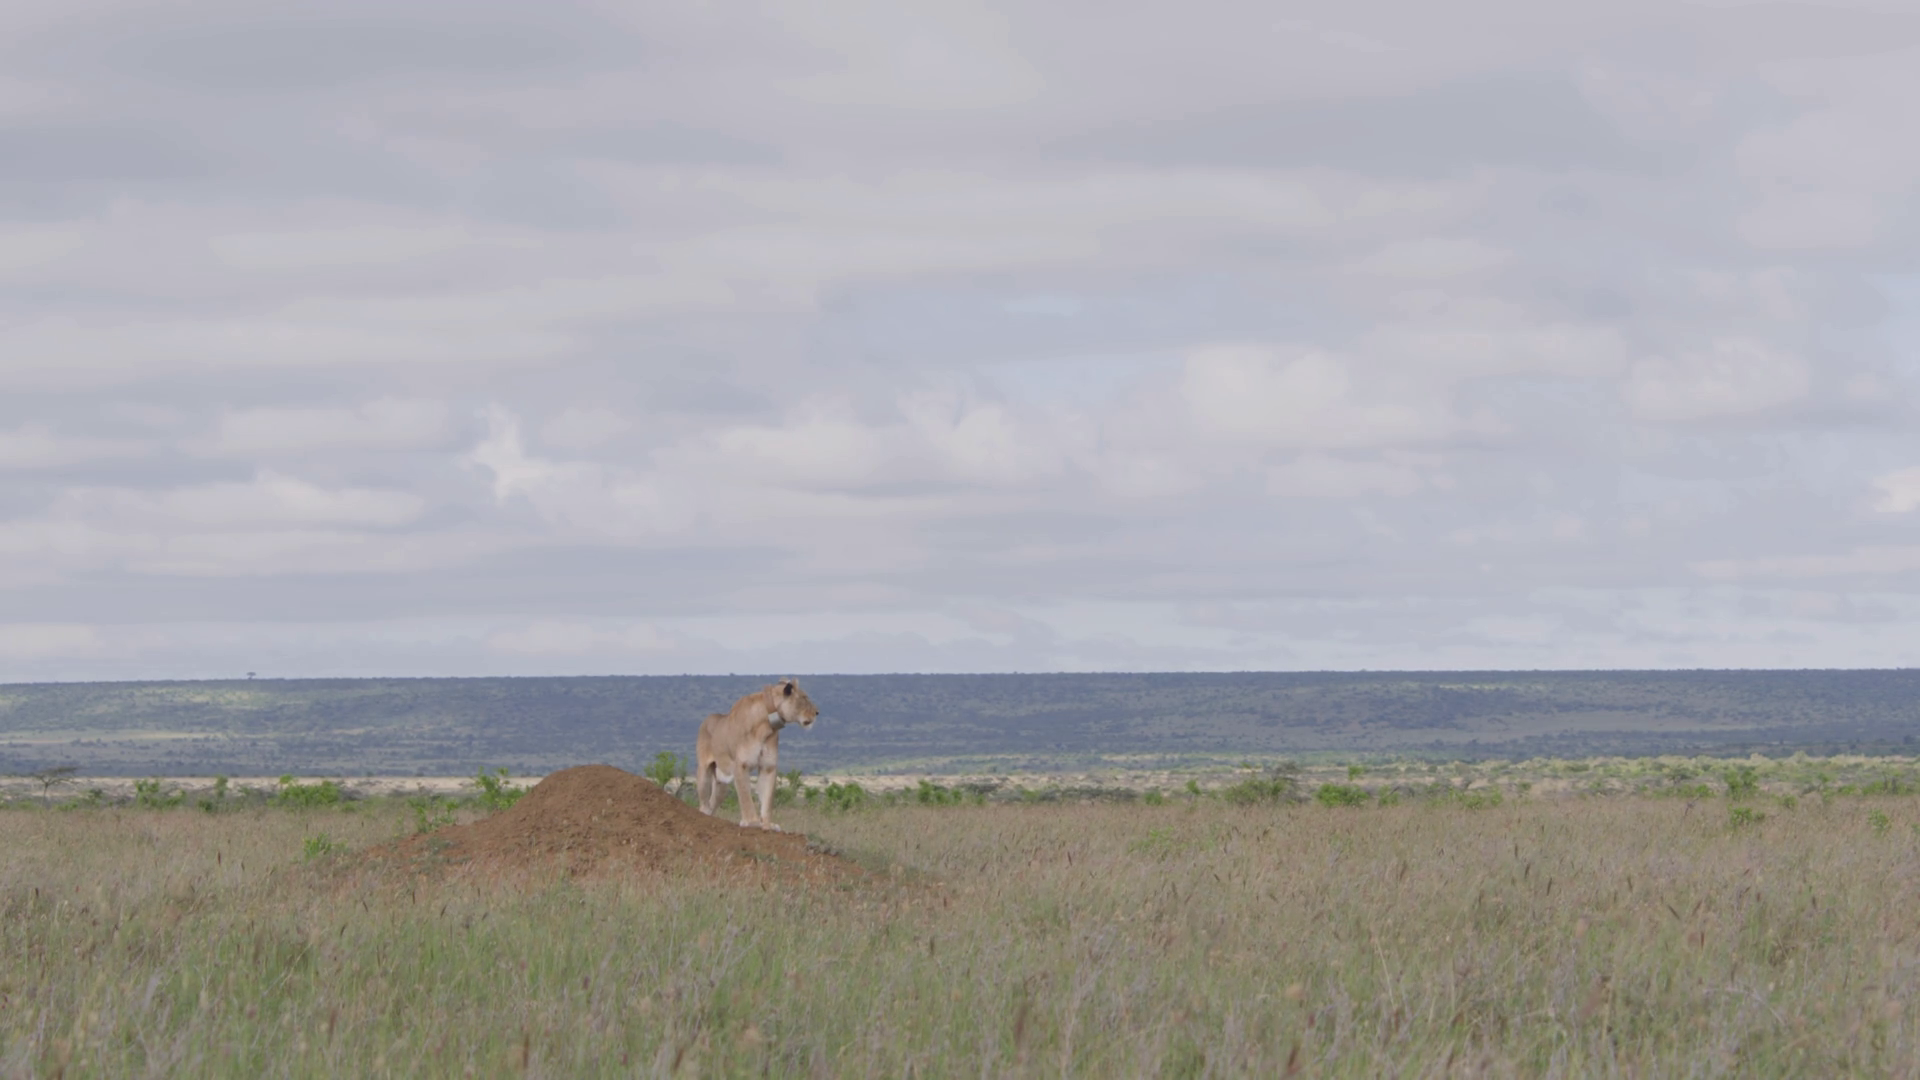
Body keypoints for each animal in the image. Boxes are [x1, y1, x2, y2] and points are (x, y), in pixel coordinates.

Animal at [695, 678, 820, 830]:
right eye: (804, 698)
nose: (817, 712)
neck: (767, 725)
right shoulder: (741, 765)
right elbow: (745, 796)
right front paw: (751, 822)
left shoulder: (768, 766)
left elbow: (767, 798)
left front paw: (767, 824)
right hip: (704, 770)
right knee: (704, 803)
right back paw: (703, 814)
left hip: (721, 784)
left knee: (713, 802)